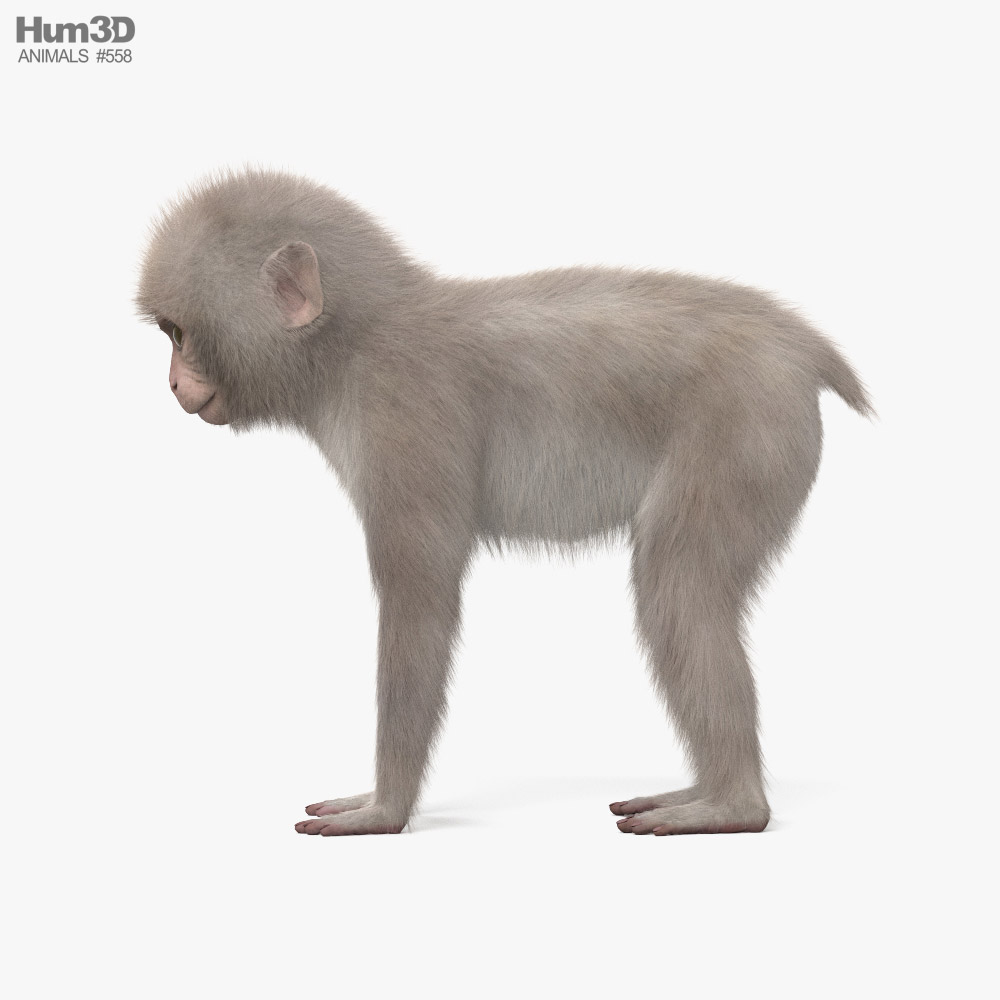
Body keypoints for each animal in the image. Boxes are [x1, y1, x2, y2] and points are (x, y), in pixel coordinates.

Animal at [136, 169, 873, 837]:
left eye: (178, 334)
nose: (171, 382)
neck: (354, 343)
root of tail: (797, 342)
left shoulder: (403, 418)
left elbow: (422, 598)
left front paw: (385, 808)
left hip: (750, 425)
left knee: (679, 580)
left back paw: (732, 806)